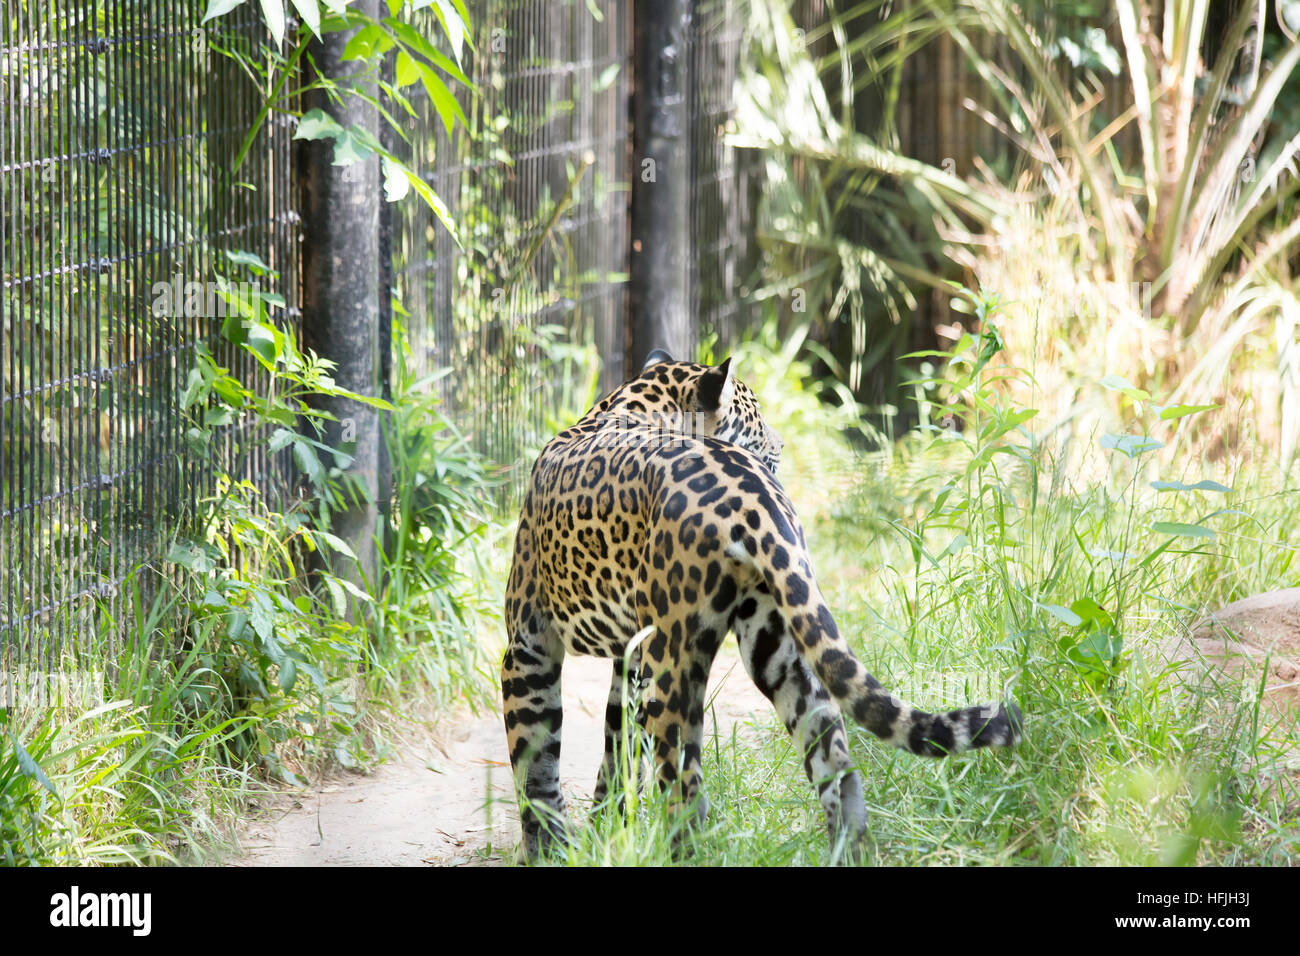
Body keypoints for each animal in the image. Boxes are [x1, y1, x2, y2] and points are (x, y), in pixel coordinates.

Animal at [501, 349, 1021, 860]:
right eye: (755, 418)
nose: (782, 445)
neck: (632, 404)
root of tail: (752, 499)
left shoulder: (527, 644)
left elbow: (535, 762)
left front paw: (547, 849)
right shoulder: (626, 657)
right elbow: (618, 749)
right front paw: (607, 833)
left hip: (673, 663)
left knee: (686, 792)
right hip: (780, 648)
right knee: (836, 764)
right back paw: (847, 849)